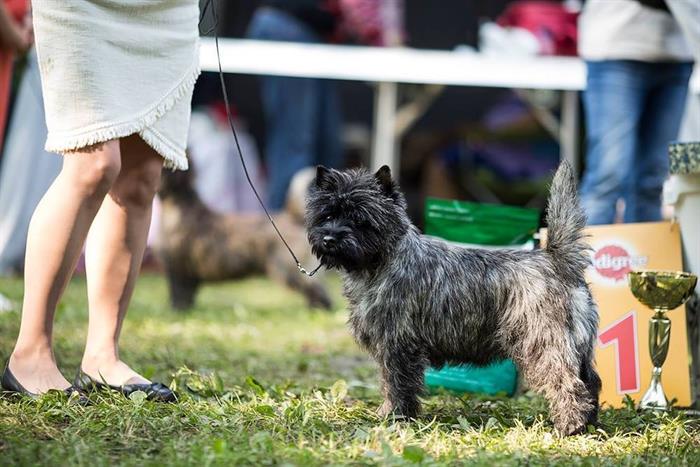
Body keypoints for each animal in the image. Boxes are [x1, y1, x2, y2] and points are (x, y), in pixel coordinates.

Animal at [306, 164, 600, 436]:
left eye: (359, 218)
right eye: (327, 214)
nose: (329, 238)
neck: (382, 260)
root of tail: (557, 261)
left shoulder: (397, 344)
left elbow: (397, 383)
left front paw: (395, 416)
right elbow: (391, 382)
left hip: (542, 343)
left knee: (567, 383)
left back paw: (569, 426)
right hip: (579, 347)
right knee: (591, 382)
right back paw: (590, 423)